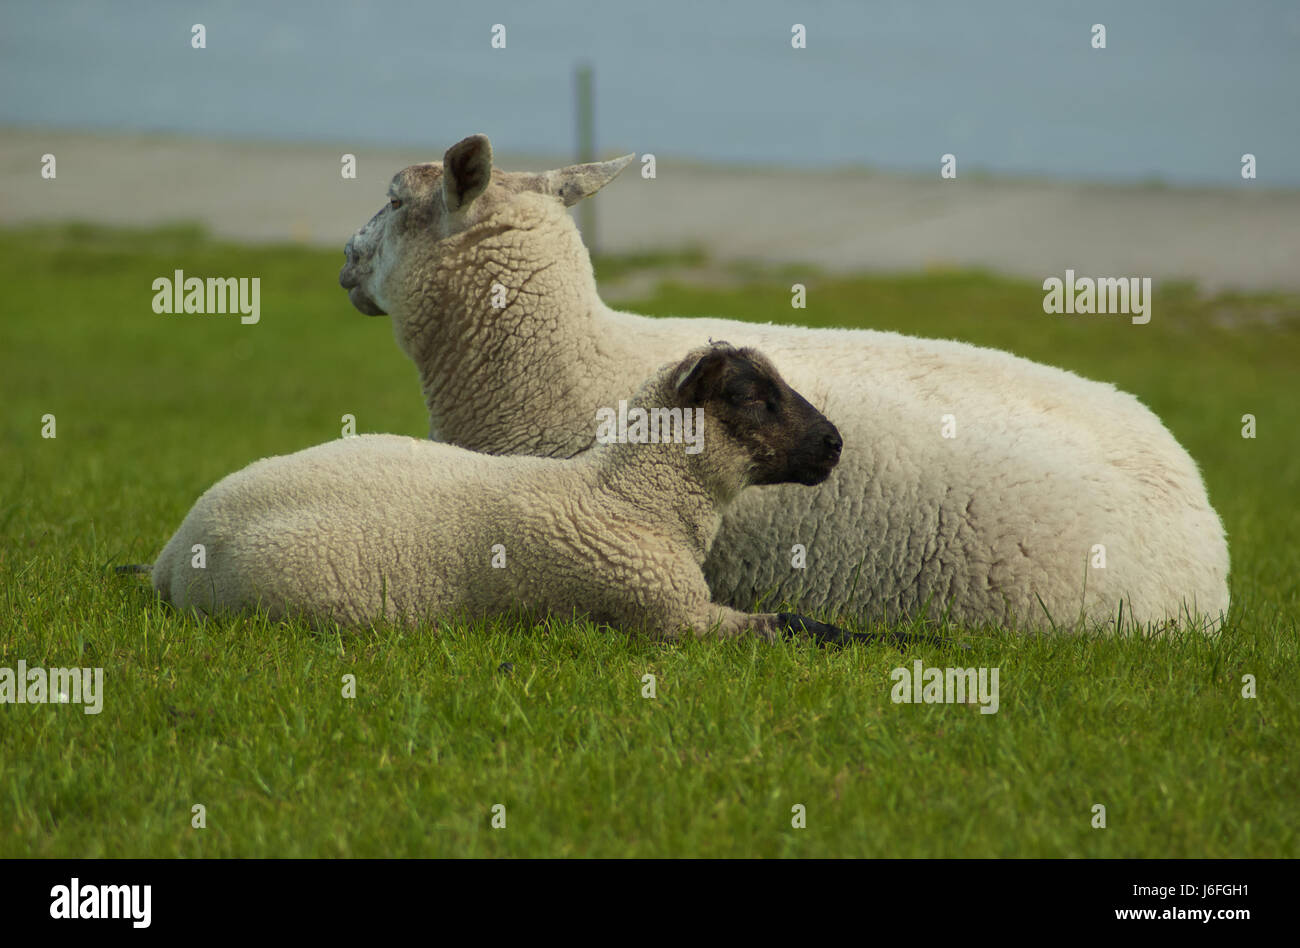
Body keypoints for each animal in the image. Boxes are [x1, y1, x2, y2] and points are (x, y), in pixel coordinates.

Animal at [152, 344, 883, 644]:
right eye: (753, 397)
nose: (834, 444)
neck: (630, 498)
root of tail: (172, 551)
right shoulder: (670, 617)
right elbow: (800, 626)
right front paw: (887, 644)